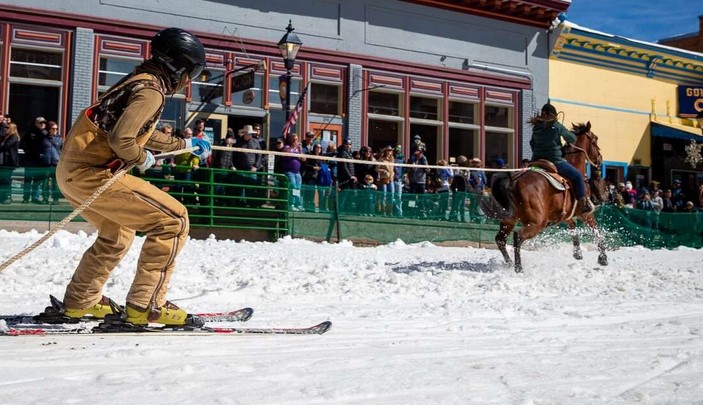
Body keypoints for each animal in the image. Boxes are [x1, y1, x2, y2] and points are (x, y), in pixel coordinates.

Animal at [483, 121, 608, 273]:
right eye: (595, 139)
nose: (600, 158)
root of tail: (512, 181)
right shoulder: (585, 213)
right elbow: (597, 231)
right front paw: (603, 258)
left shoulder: (566, 214)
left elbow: (572, 227)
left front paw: (577, 253)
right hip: (536, 222)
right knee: (518, 237)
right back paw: (518, 268)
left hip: (509, 220)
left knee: (500, 239)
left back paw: (509, 263)